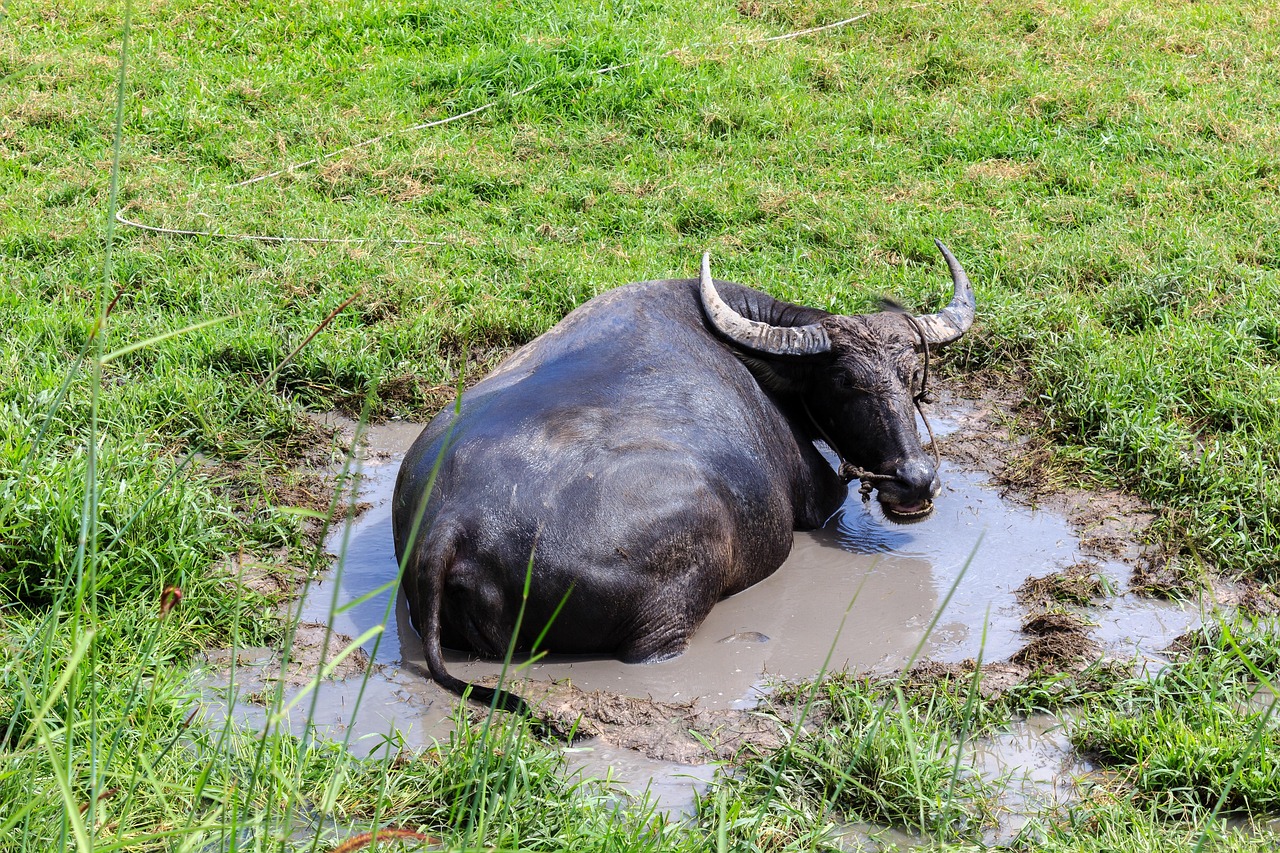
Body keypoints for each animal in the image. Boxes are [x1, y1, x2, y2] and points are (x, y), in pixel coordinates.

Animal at [393, 243, 975, 711]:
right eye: (843, 383)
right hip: (678, 594)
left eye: (911, 375)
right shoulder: (820, 497)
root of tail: (453, 520)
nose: (915, 480)